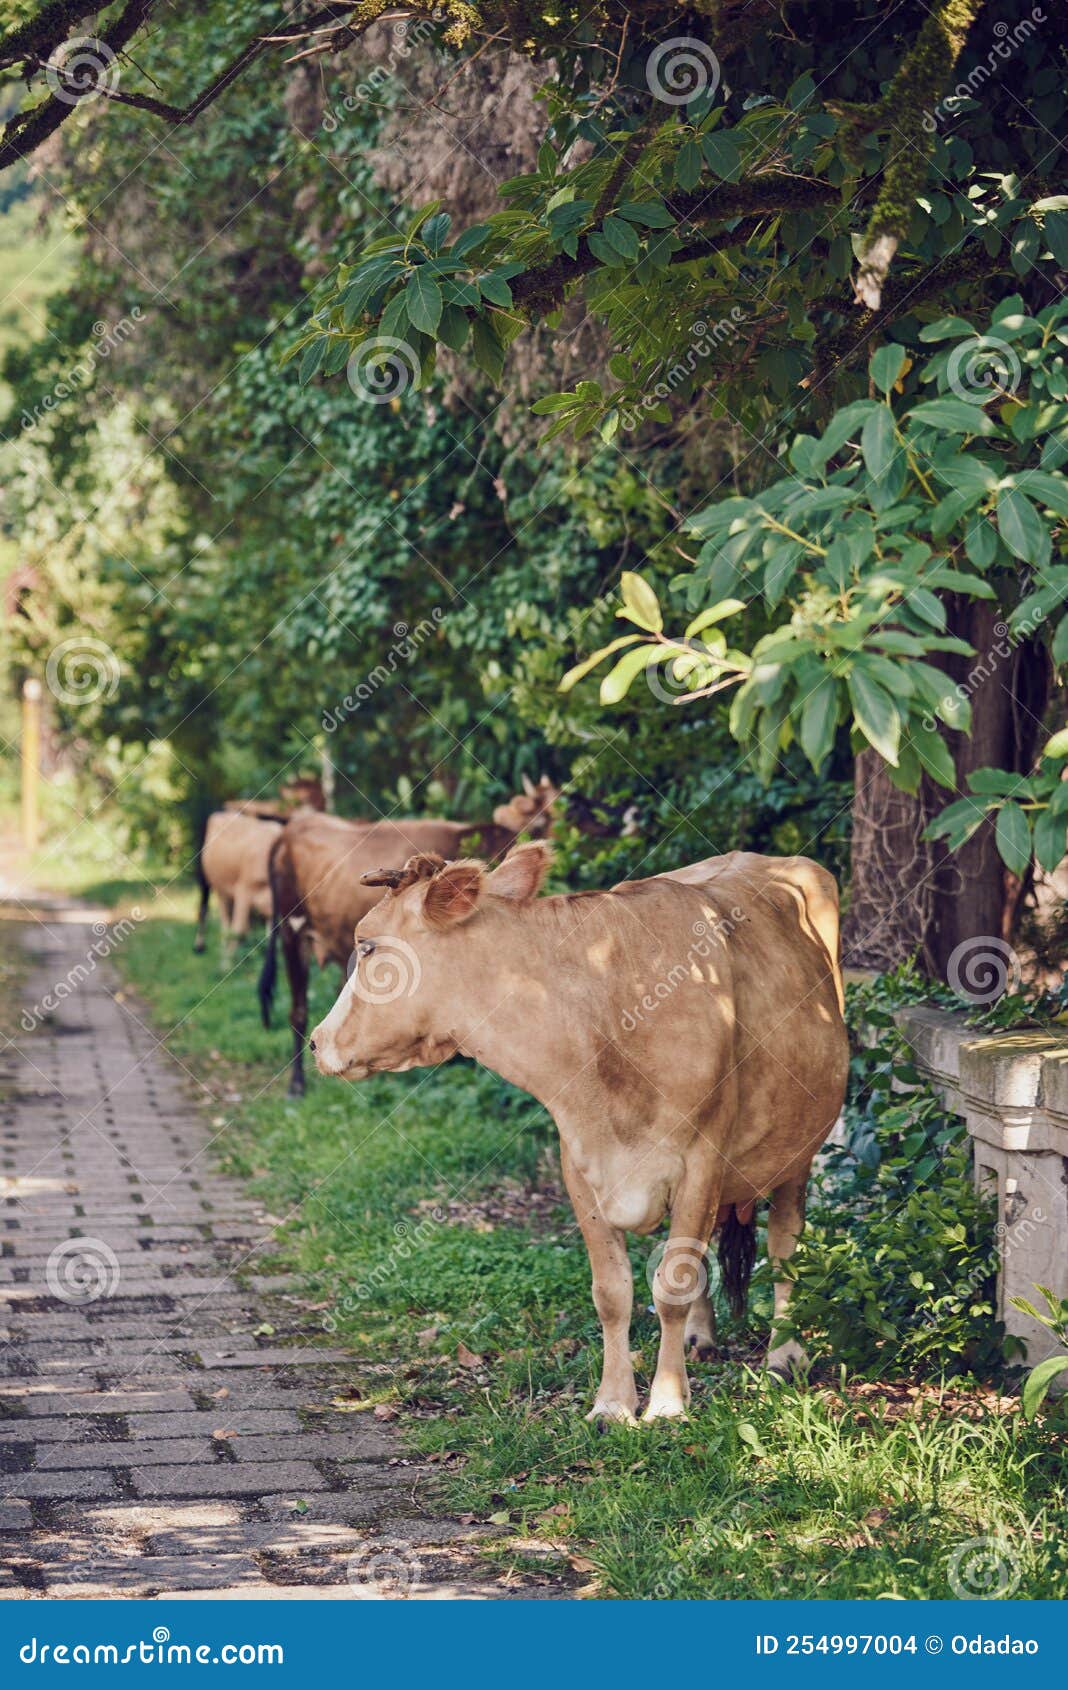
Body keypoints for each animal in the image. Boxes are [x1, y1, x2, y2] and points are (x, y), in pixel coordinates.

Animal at [309, 843, 848, 1422]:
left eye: (367, 946)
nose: (316, 1041)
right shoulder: (580, 1163)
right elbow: (613, 1292)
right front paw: (612, 1405)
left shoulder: (702, 1162)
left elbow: (672, 1287)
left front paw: (666, 1404)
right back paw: (700, 1339)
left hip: (799, 1151)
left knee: (785, 1247)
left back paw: (784, 1356)